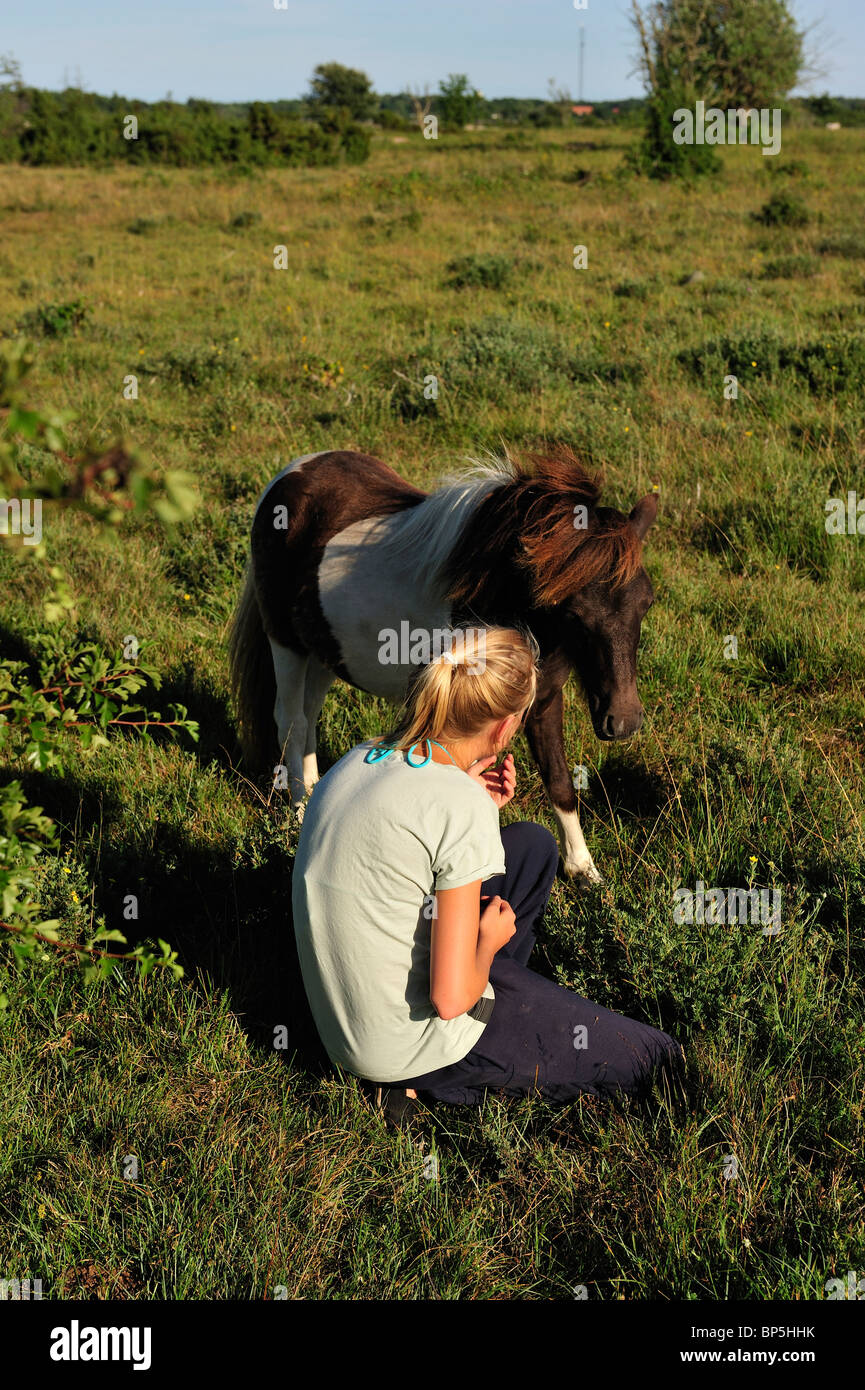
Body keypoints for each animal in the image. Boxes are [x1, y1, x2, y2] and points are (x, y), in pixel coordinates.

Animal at [228, 446, 657, 884]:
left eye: (647, 602)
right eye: (575, 614)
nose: (624, 721)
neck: (504, 593)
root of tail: (289, 476)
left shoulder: (544, 700)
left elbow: (558, 779)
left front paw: (583, 869)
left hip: (323, 651)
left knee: (309, 714)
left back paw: (314, 791)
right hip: (285, 642)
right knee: (292, 722)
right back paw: (299, 812)